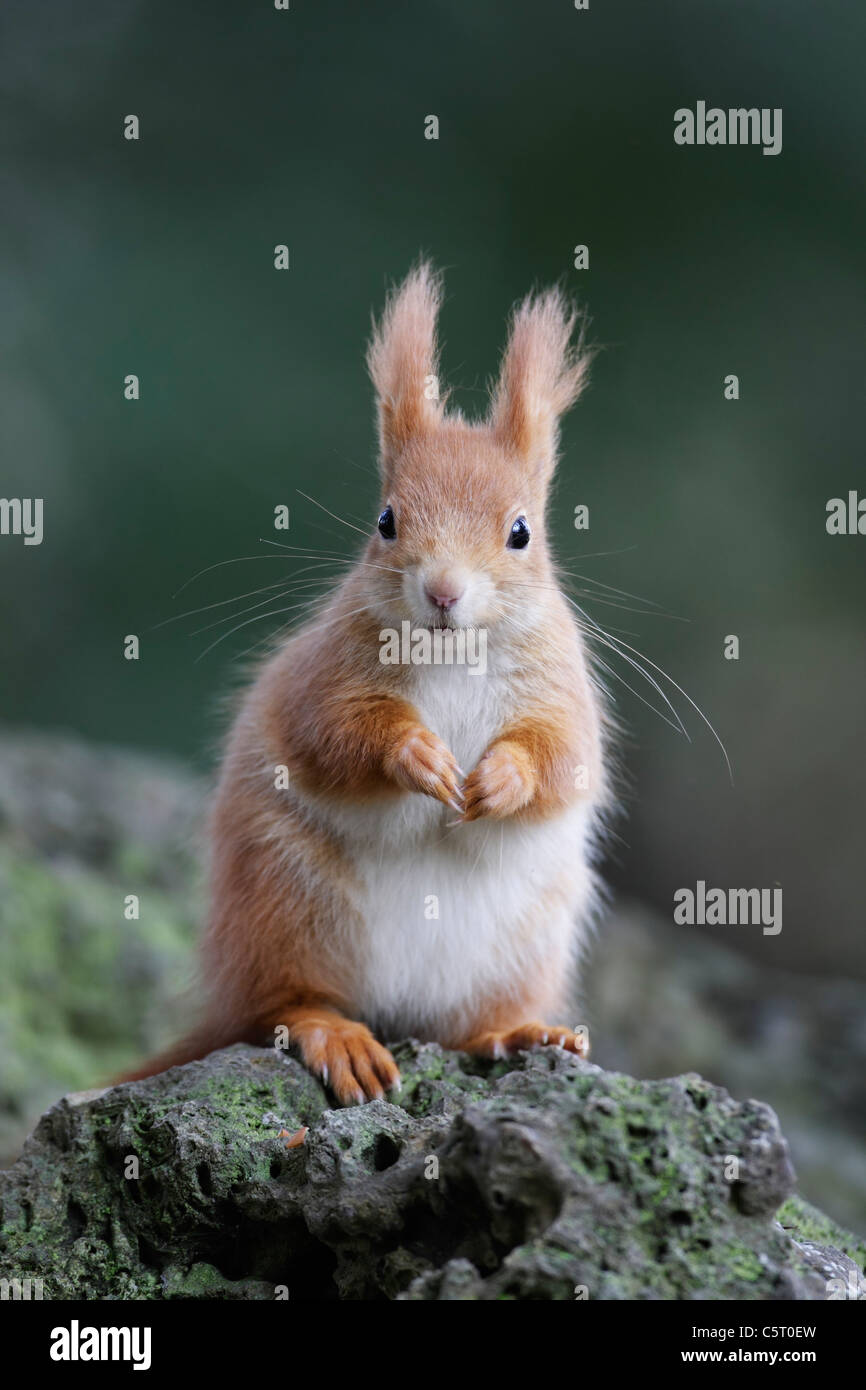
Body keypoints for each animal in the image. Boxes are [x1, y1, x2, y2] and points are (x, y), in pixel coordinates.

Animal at [120, 262, 610, 1105]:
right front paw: (419, 757)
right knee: (281, 1009)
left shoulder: (563, 691)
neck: (452, 652)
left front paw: (499, 779)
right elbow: (337, 733)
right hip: (286, 903)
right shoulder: (324, 677)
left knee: (468, 1028)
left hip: (524, 942)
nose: (443, 590)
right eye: (385, 521)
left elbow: (562, 757)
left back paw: (523, 1031)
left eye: (522, 532)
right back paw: (339, 1038)